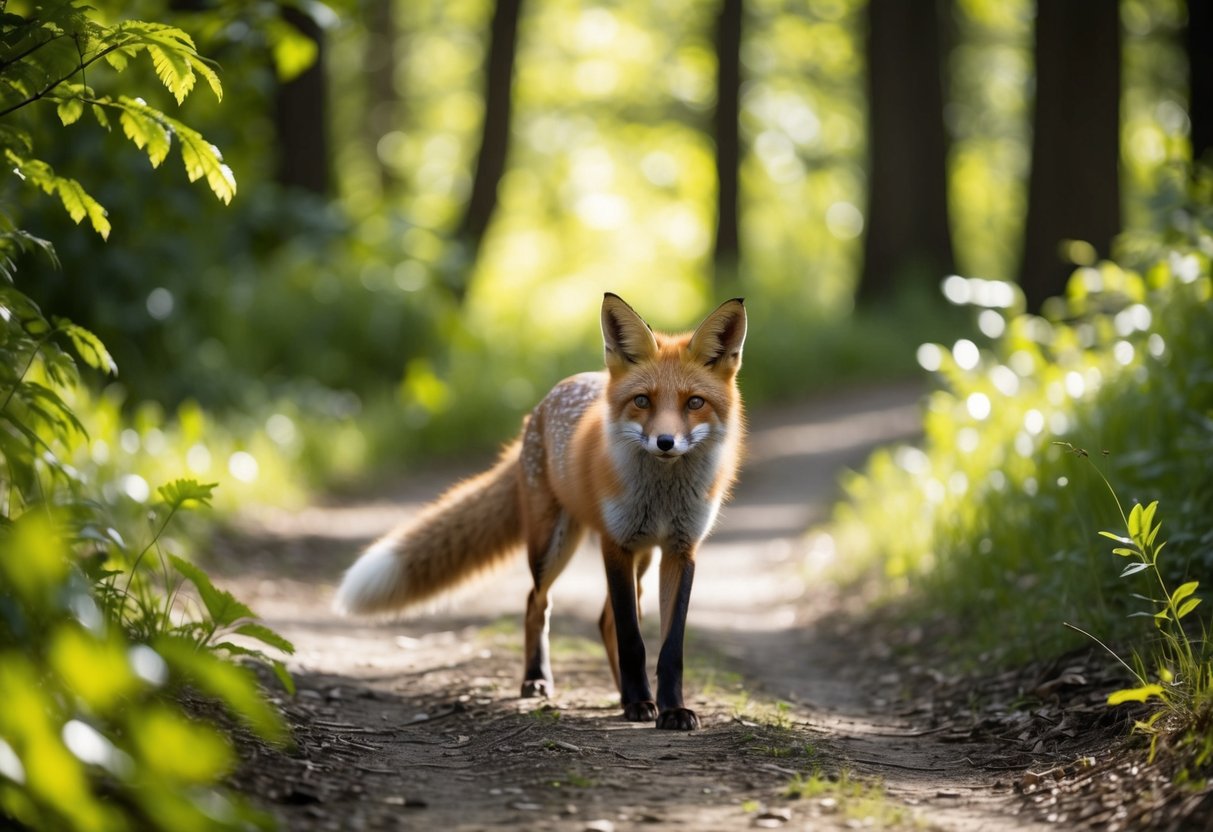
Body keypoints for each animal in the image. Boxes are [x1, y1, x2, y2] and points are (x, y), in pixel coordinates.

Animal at [334, 293, 746, 730]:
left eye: (695, 402)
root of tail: (542, 405)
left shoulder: (680, 550)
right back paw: (539, 680)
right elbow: (633, 640)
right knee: (537, 603)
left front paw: (671, 709)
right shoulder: (616, 545)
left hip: (642, 560)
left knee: (603, 620)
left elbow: (669, 647)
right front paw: (638, 704)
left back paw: (623, 692)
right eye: (642, 401)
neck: (663, 496)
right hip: (552, 545)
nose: (665, 442)